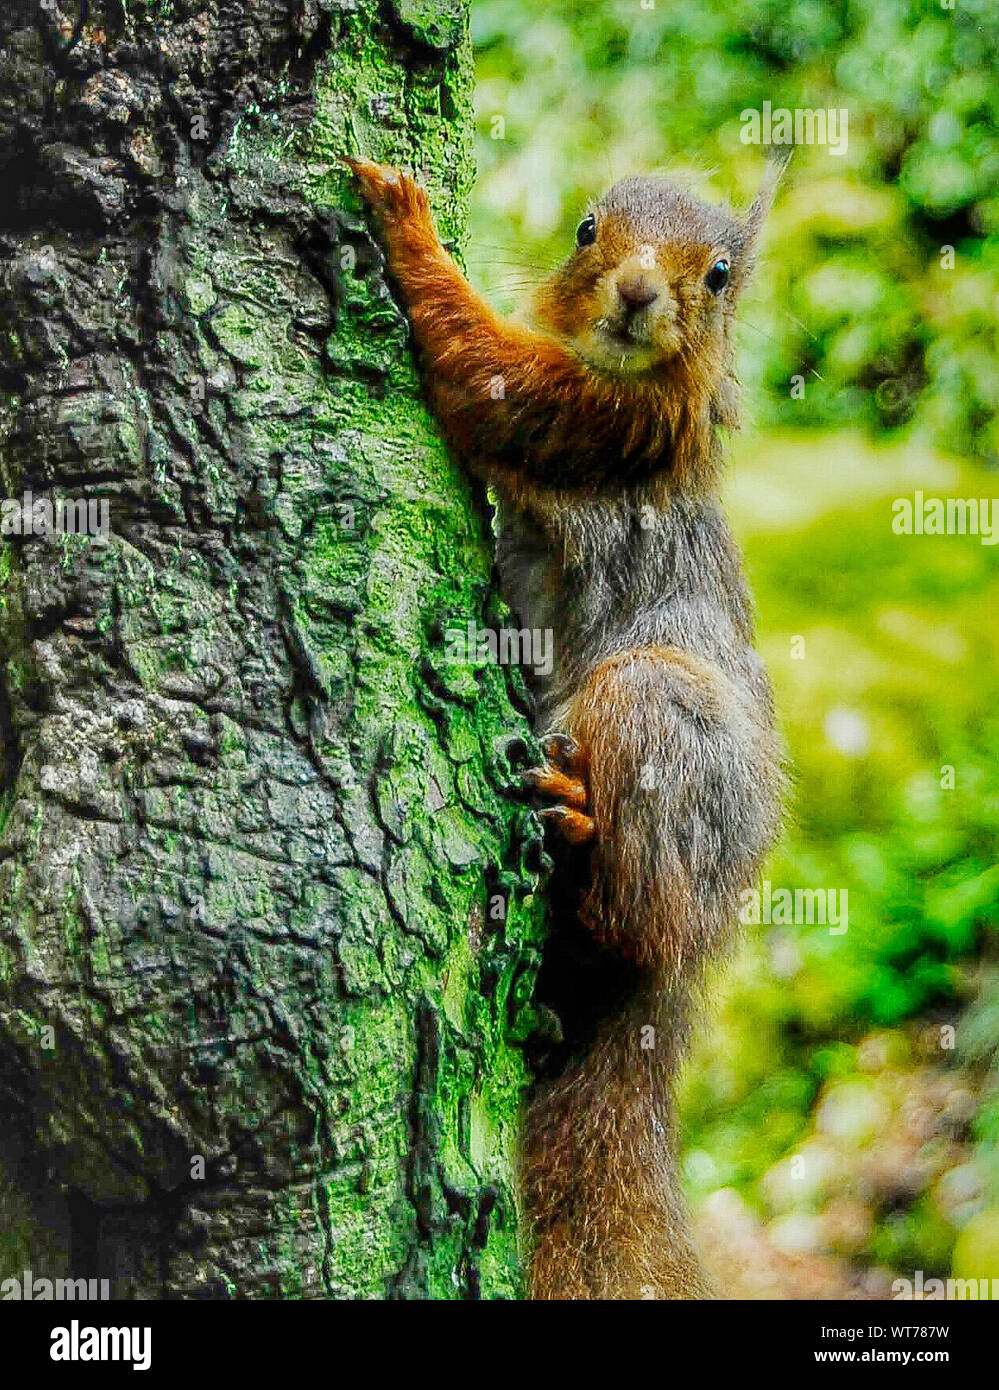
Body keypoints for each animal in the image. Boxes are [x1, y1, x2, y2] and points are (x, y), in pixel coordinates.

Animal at [344, 152, 787, 1300]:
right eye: (588, 228)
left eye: (718, 274)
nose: (636, 293)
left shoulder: (592, 426)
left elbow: (479, 374)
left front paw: (408, 228)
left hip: (648, 714)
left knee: (636, 915)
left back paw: (580, 826)